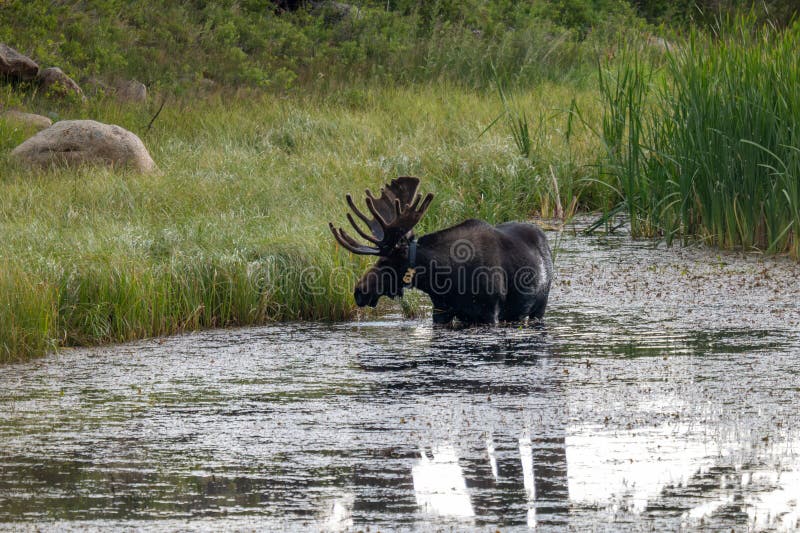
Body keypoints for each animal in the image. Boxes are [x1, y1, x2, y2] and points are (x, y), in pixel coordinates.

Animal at [329, 177, 553, 324]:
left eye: (385, 263)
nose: (359, 291)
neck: (443, 278)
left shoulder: (490, 314)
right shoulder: (440, 311)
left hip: (539, 307)